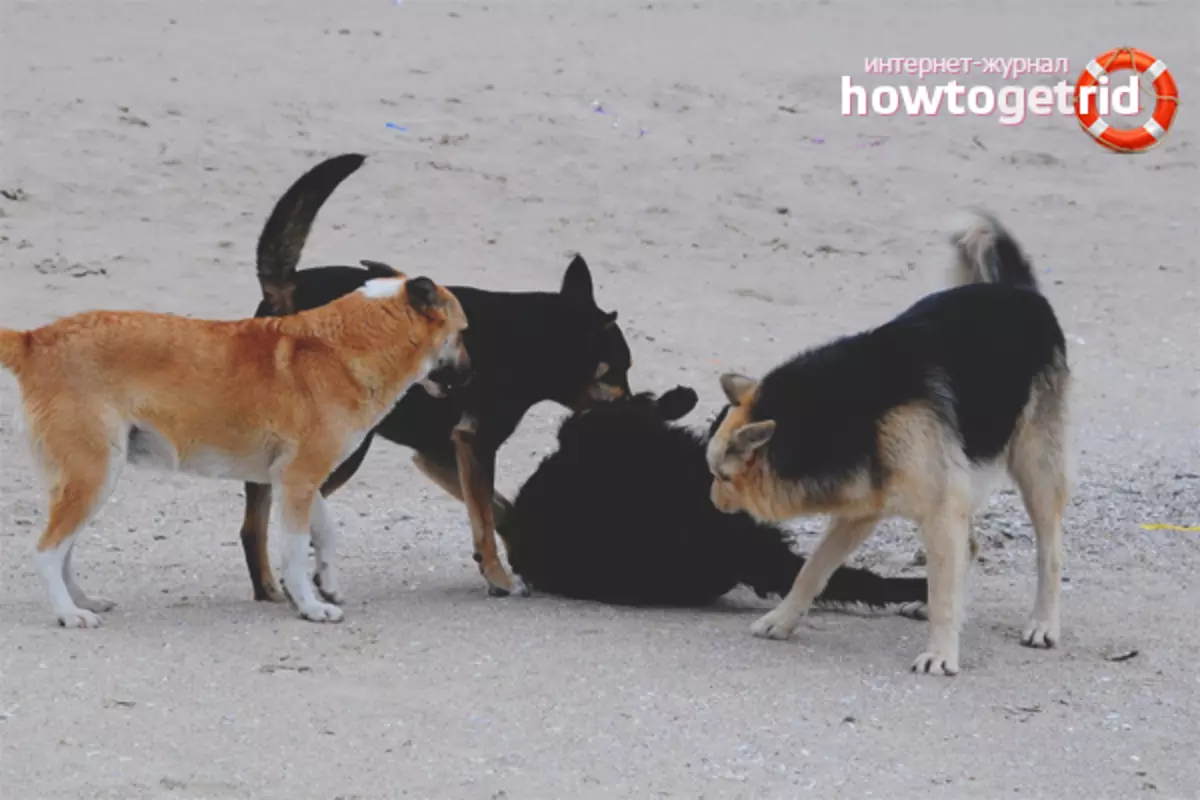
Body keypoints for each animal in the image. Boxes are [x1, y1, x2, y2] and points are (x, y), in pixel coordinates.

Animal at [0, 272, 468, 628]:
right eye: (463, 333)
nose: (473, 377)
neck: (343, 345)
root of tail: (34, 338)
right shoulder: (298, 479)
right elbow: (295, 550)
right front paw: (311, 606)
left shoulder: (297, 479)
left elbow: (326, 530)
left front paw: (328, 584)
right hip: (94, 475)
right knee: (46, 551)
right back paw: (68, 614)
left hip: (84, 479)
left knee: (63, 549)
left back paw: (82, 601)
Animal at [230, 153, 633, 599]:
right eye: (620, 371)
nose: (635, 404)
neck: (536, 339)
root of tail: (290, 286)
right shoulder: (475, 444)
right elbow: (485, 519)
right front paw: (500, 576)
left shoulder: (442, 454)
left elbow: (495, 510)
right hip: (348, 445)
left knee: (254, 521)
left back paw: (270, 587)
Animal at [700, 211, 1070, 676]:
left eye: (721, 476)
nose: (712, 503)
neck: (828, 414)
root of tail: (1021, 293)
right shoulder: (860, 511)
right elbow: (813, 569)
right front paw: (782, 620)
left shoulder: (938, 508)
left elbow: (942, 589)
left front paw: (942, 653)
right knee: (968, 547)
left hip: (1035, 469)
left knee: (1048, 553)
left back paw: (1043, 623)